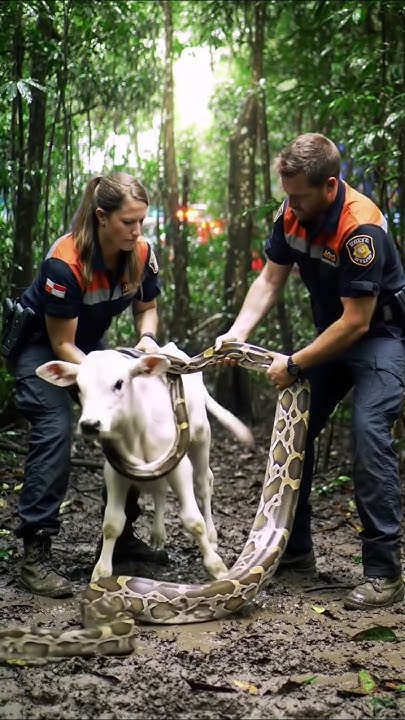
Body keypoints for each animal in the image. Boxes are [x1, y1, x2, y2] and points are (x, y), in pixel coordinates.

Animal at [36, 343, 254, 584]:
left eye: (119, 383)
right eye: (78, 388)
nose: (90, 424)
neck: (137, 431)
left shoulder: (179, 464)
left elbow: (193, 520)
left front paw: (216, 566)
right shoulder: (114, 471)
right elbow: (112, 522)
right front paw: (101, 572)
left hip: (201, 435)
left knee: (204, 483)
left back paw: (212, 535)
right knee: (160, 489)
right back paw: (158, 535)